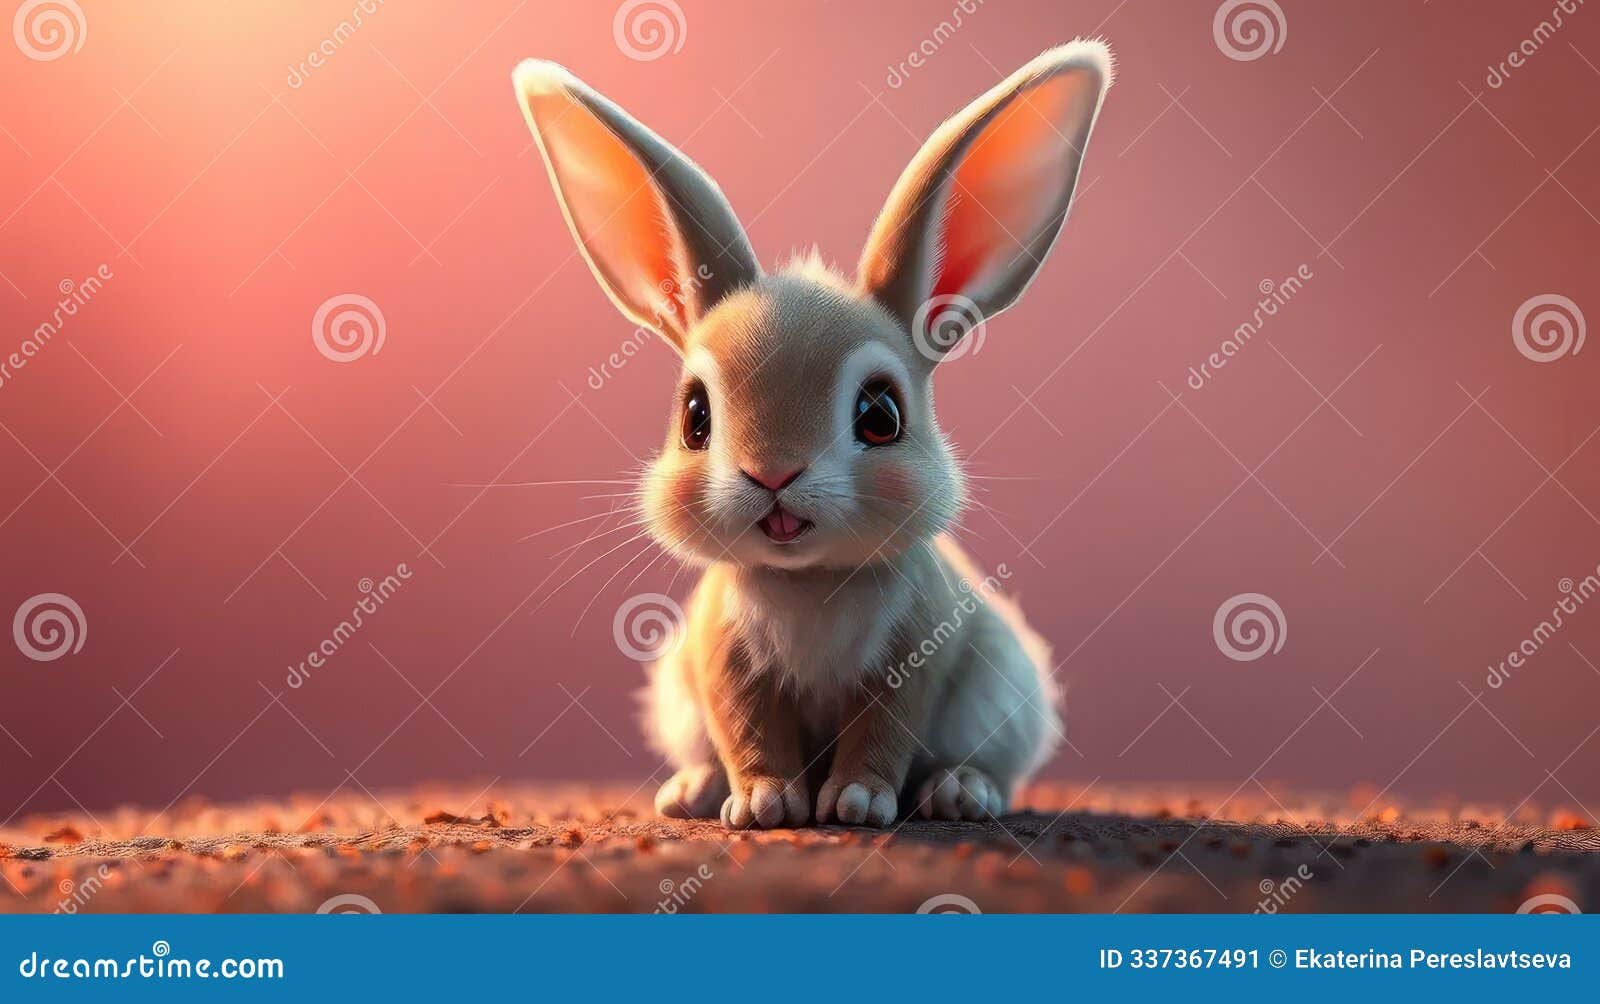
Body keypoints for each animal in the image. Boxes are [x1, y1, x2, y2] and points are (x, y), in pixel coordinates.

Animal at [513, 39, 1113, 828]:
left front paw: (857, 803)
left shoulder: (916, 652)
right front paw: (763, 803)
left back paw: (960, 791)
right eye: (695, 417)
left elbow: (882, 732)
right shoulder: (723, 659)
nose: (773, 474)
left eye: (881, 416)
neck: (809, 581)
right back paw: (693, 792)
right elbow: (749, 728)